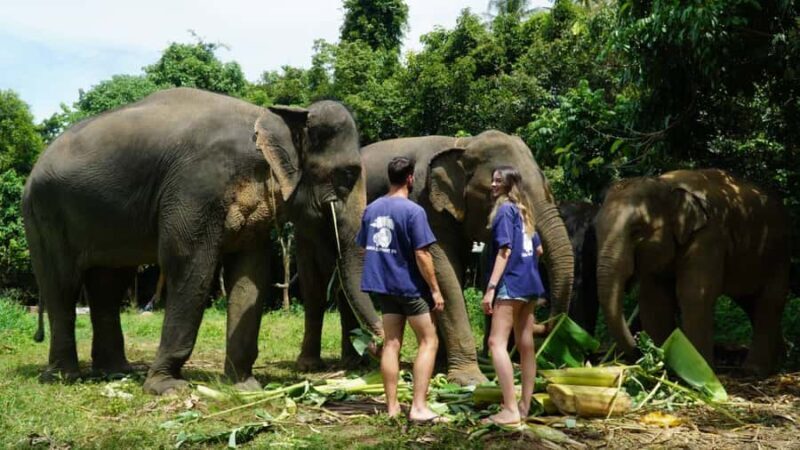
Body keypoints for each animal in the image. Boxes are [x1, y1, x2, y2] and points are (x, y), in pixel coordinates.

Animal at [22, 87, 382, 394]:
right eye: (348, 174)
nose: (376, 347)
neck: (270, 117)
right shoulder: (196, 186)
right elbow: (189, 263)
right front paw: (167, 388)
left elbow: (250, 274)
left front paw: (245, 387)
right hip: (44, 215)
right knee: (62, 285)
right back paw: (63, 377)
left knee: (108, 285)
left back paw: (115, 372)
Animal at [358, 131, 575, 385]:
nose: (541, 315)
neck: (462, 145)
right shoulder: (425, 203)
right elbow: (444, 272)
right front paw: (470, 380)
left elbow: (455, 273)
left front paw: (443, 369)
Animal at [595, 169, 790, 375]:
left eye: (636, 231)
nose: (638, 349)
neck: (664, 185)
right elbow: (654, 300)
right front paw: (662, 368)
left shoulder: (709, 236)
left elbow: (695, 294)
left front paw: (699, 372)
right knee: (750, 303)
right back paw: (780, 360)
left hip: (779, 254)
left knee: (770, 301)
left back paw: (754, 370)